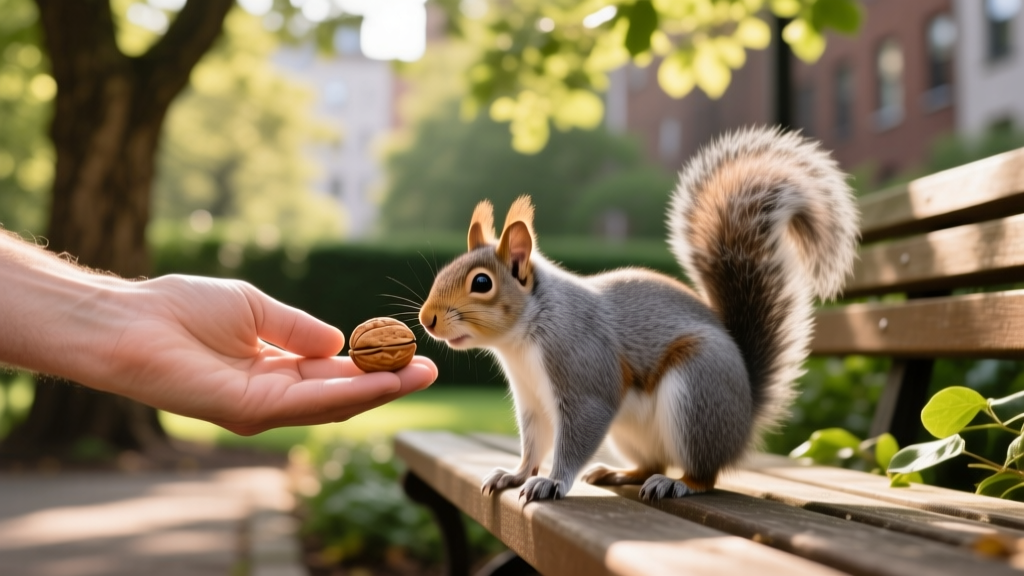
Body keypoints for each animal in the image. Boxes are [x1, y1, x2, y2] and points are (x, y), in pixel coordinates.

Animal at [418, 127, 859, 502]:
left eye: (481, 283)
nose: (427, 319)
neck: (524, 337)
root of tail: (745, 417)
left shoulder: (583, 372)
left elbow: (577, 432)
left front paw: (552, 482)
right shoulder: (530, 399)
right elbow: (533, 442)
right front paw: (516, 474)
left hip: (697, 393)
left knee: (704, 472)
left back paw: (677, 483)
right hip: (630, 433)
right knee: (652, 460)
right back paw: (621, 473)